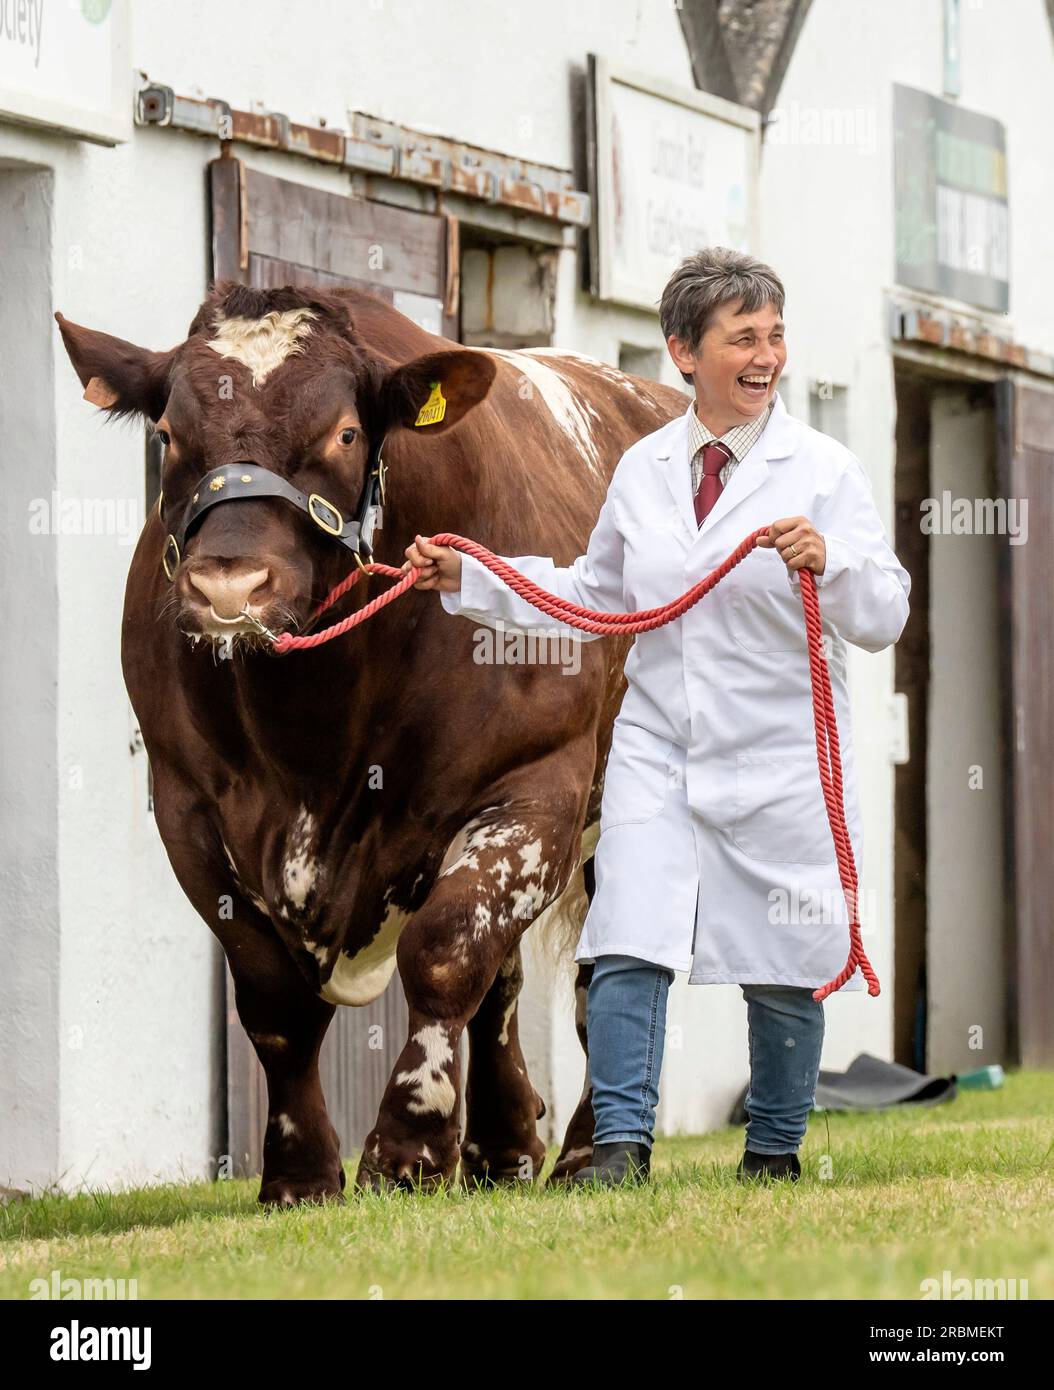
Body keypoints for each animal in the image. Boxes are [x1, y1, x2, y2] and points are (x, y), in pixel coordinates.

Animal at [55, 282, 688, 1202]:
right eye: (168, 433)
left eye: (345, 434)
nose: (229, 586)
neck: (311, 741)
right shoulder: (187, 810)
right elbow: (274, 1000)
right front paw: (301, 1172)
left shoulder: (536, 783)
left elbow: (447, 951)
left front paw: (409, 1146)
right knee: (509, 984)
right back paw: (504, 1148)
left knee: (603, 970)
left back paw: (581, 1153)